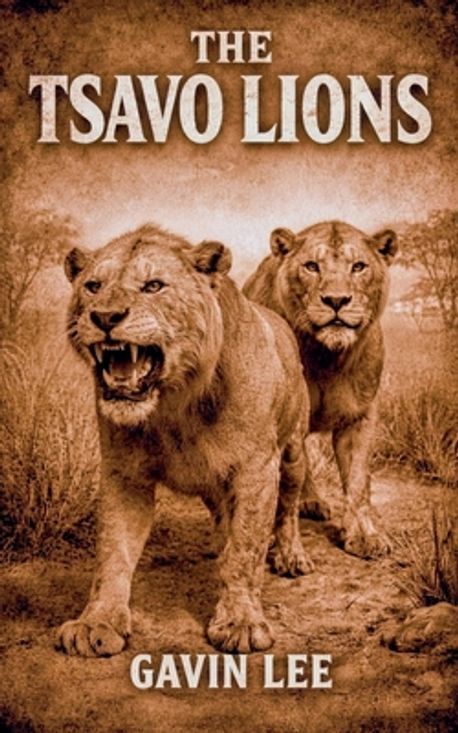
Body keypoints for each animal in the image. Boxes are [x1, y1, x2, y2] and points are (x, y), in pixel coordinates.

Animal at [57, 224, 311, 657]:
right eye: (93, 286)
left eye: (153, 286)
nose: (105, 316)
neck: (176, 403)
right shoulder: (124, 474)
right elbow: (113, 551)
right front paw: (97, 622)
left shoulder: (256, 470)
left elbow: (246, 549)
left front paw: (240, 621)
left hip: (293, 454)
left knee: (288, 508)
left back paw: (291, 555)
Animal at [243, 220, 398, 559]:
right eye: (312, 266)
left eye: (358, 266)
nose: (336, 301)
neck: (328, 358)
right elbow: (282, 484)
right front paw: (279, 545)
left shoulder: (360, 417)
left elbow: (357, 482)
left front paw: (363, 536)